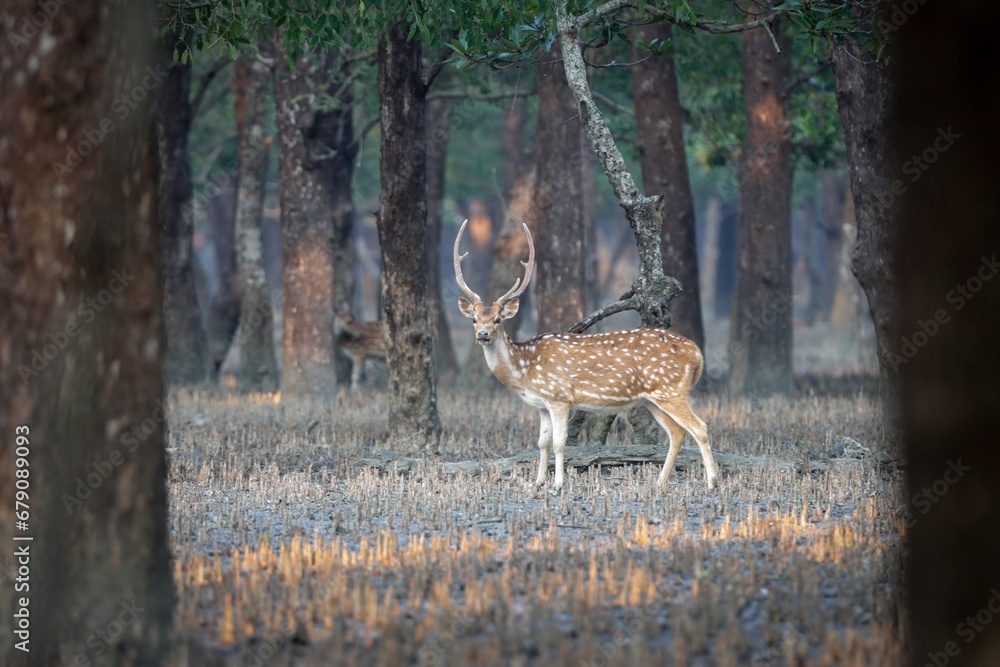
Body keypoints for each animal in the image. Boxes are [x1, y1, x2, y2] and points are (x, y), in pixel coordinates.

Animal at [454, 219, 719, 491]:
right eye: (474, 319)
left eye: (497, 319)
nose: (483, 334)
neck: (524, 368)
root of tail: (697, 354)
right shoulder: (542, 405)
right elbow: (542, 442)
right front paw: (537, 482)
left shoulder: (559, 397)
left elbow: (560, 442)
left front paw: (558, 483)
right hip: (653, 399)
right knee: (677, 432)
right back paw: (659, 482)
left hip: (671, 390)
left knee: (700, 427)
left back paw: (712, 482)